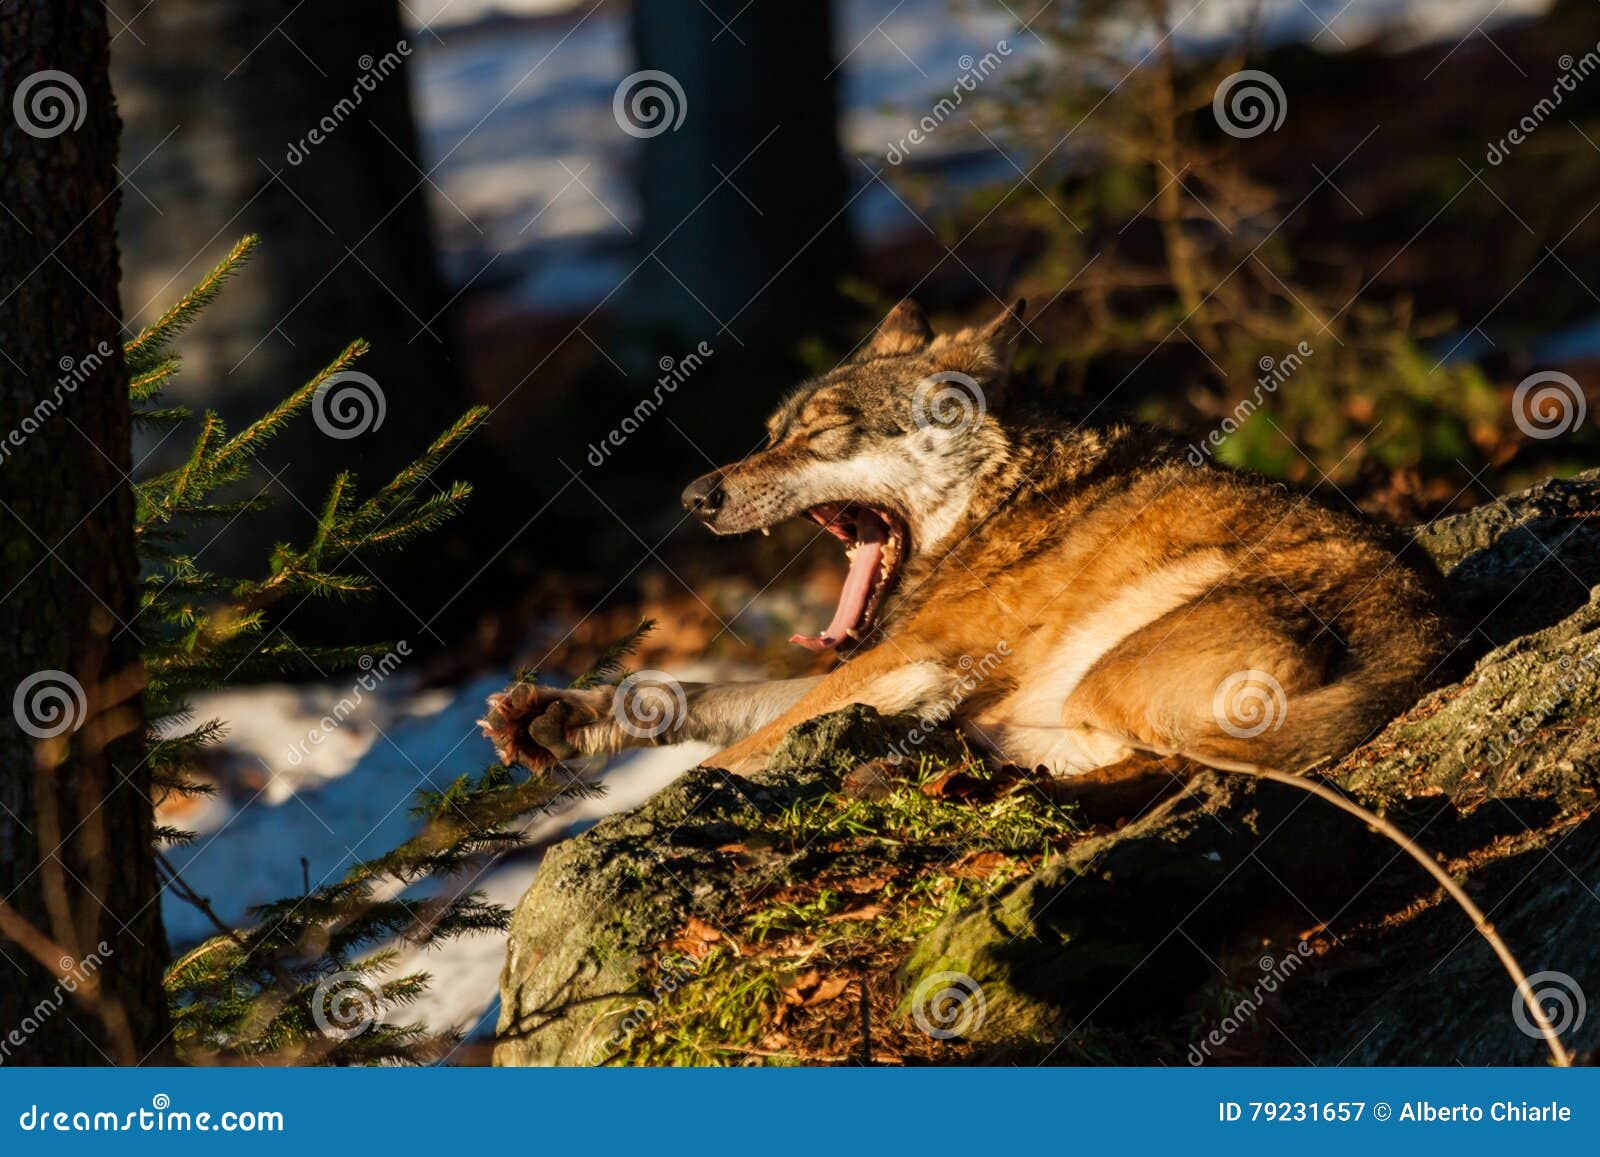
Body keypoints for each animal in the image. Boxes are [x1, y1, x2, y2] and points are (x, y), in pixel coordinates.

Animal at [481, 300, 1457, 779]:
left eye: (821, 433)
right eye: (769, 435)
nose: (695, 496)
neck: (1000, 502)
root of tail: (1428, 637)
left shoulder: (917, 654)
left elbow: (738, 745)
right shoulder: (874, 663)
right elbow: (713, 693)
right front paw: (569, 717)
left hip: (1110, 682)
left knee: (1176, 768)